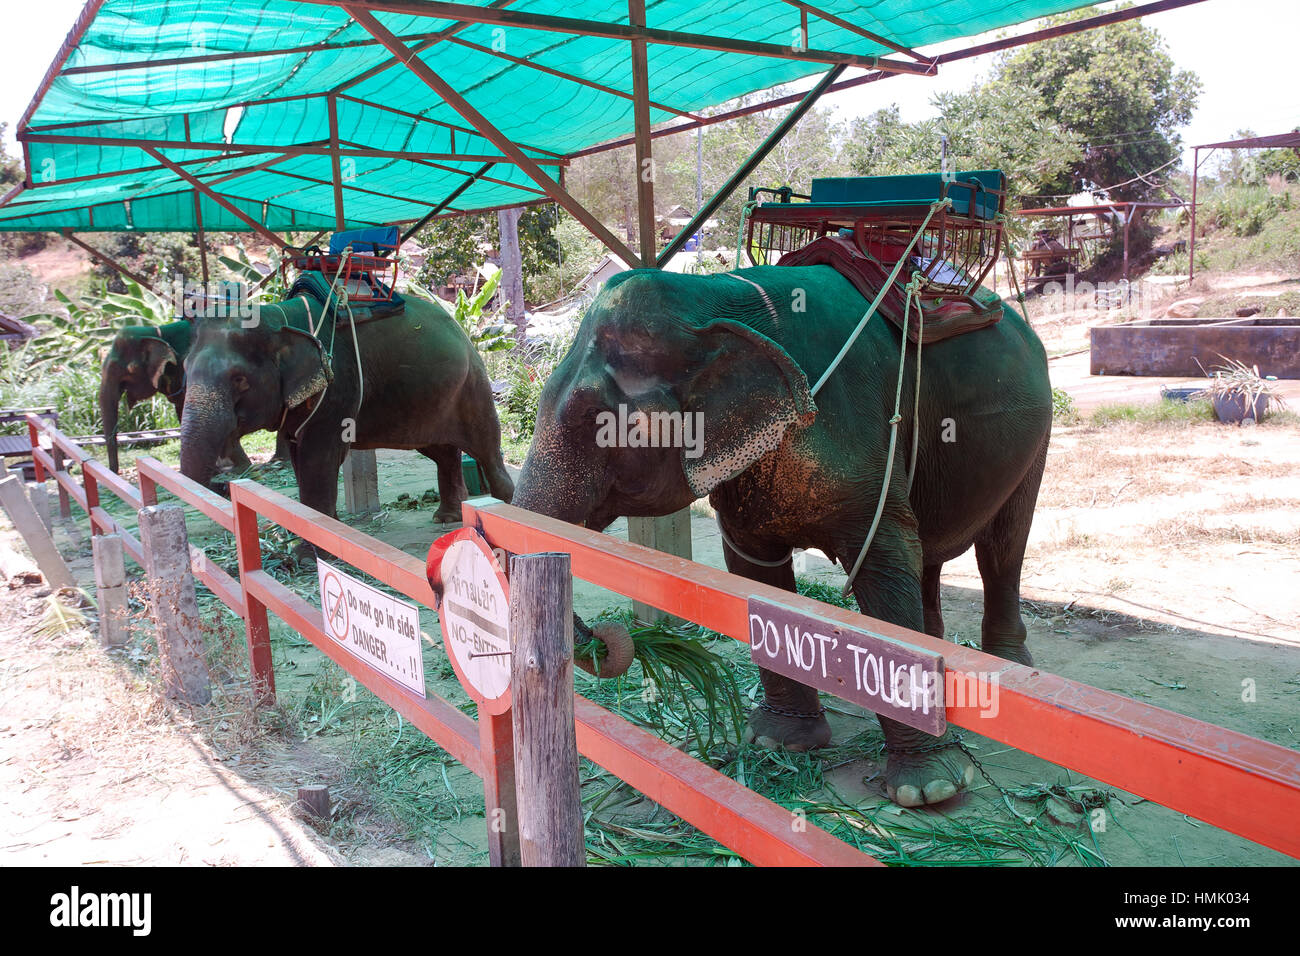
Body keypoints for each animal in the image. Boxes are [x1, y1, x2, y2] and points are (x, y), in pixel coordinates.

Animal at [177, 295, 515, 526]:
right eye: (184, 369)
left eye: (239, 380)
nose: (224, 481)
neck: (278, 316)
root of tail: (460, 328)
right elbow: (299, 456)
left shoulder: (337, 384)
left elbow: (318, 457)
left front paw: (309, 552)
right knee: (443, 452)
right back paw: (447, 517)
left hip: (473, 385)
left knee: (486, 446)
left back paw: (506, 506)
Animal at [512, 266, 1052, 808]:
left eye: (594, 418)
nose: (611, 637)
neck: (713, 297)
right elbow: (756, 574)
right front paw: (780, 742)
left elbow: (886, 557)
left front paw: (930, 789)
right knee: (932, 554)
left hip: (1037, 436)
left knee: (1002, 548)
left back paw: (1007, 670)